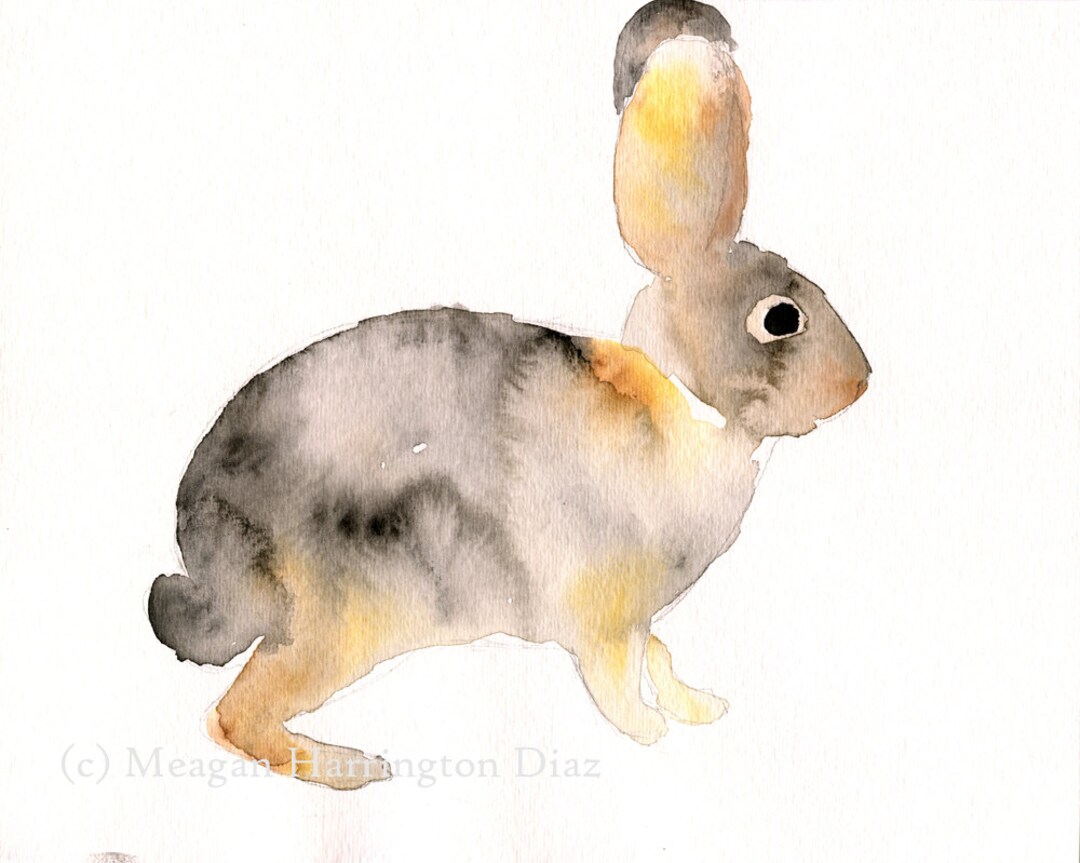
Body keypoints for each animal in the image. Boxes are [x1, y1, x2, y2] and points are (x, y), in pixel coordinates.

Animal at [148, 0, 870, 790]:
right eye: (781, 319)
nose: (861, 381)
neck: (686, 412)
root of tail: (203, 540)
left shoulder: (639, 617)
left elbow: (658, 655)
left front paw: (700, 706)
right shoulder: (600, 615)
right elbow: (617, 680)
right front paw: (650, 734)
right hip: (344, 625)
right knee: (235, 715)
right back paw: (351, 767)